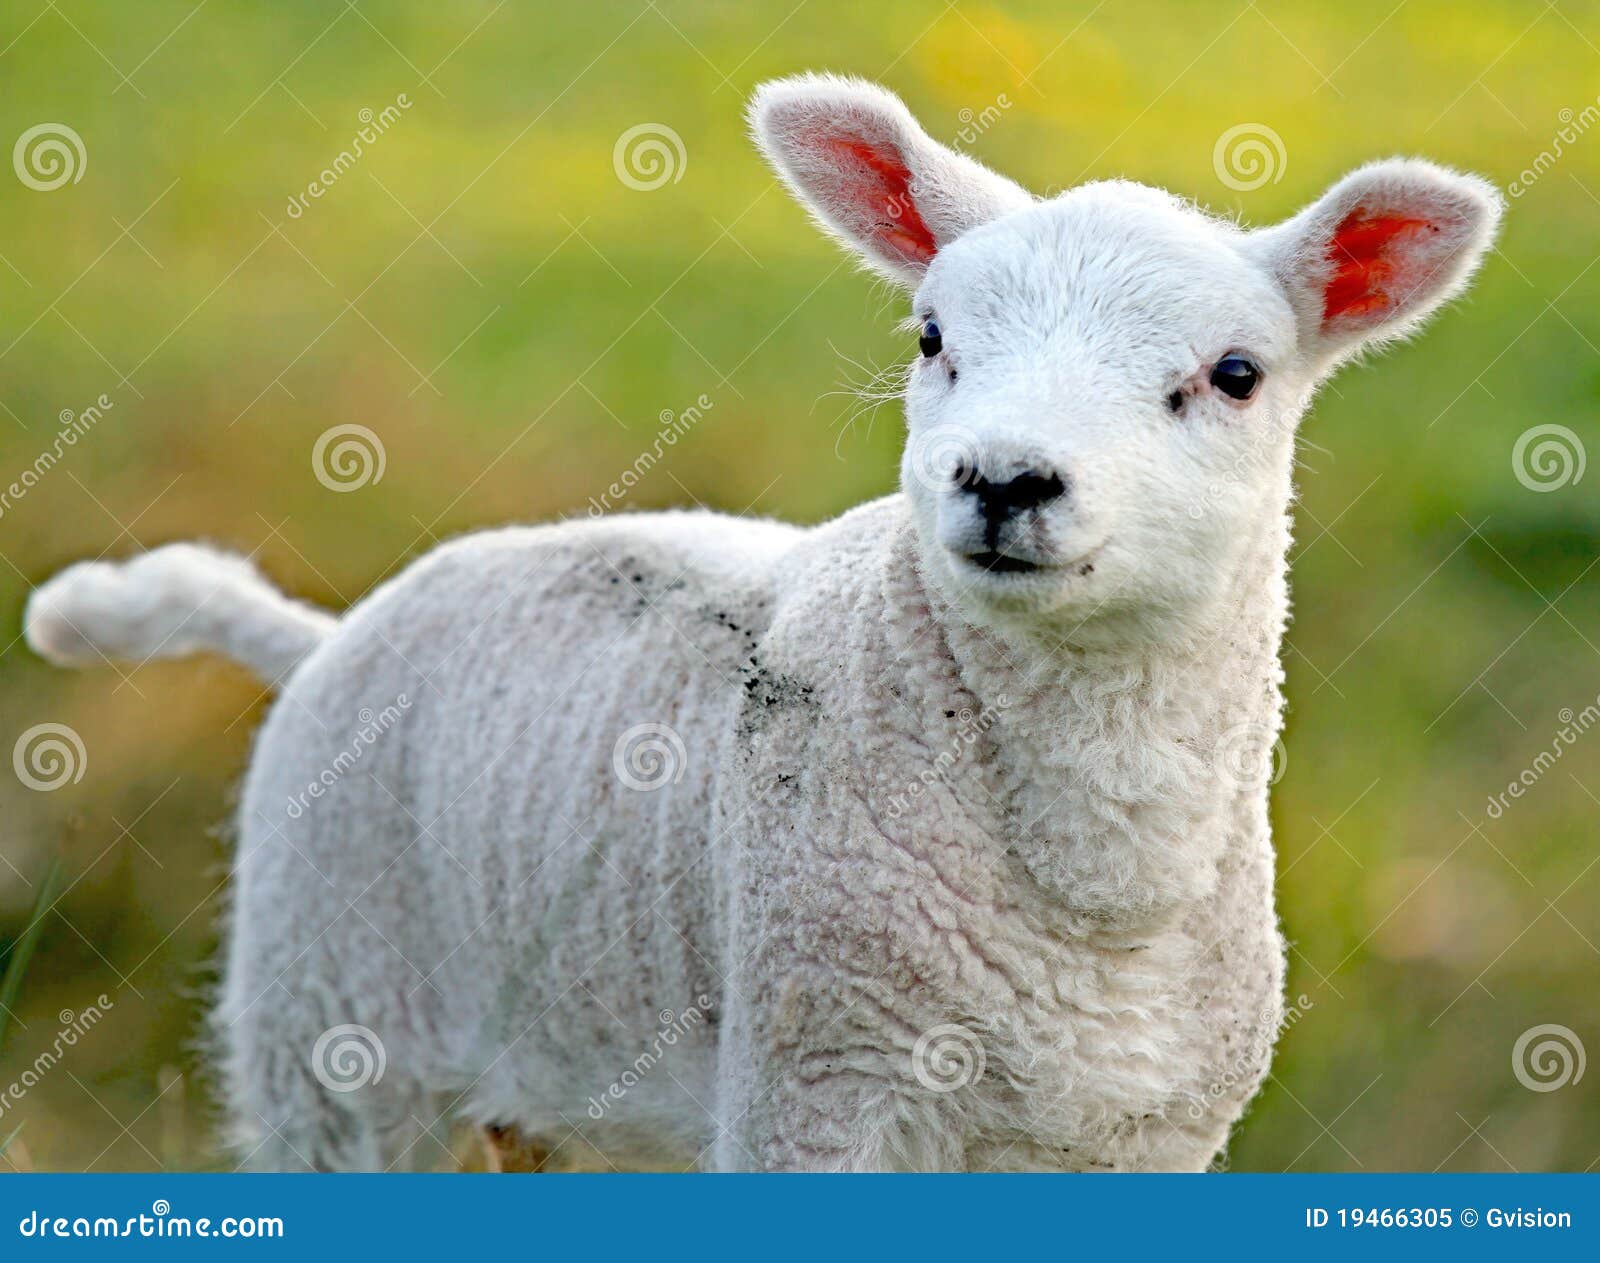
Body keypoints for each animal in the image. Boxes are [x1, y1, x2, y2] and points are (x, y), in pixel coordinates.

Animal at [24, 74, 1500, 1172]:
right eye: (930, 338)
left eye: (1235, 374)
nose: (1003, 478)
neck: (1094, 897)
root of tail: (321, 635)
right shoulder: (821, 1076)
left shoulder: (1145, 1136)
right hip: (334, 1036)